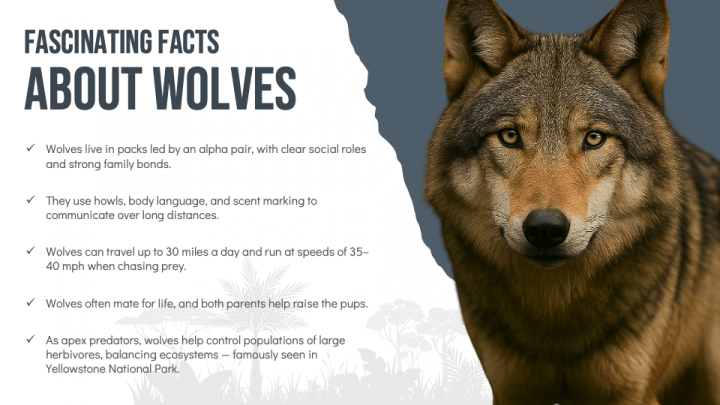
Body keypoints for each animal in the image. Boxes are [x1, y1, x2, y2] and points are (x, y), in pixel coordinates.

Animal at [424, 0, 720, 403]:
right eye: (510, 136)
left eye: (594, 138)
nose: (545, 229)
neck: (556, 317)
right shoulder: (511, 389)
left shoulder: (632, 392)